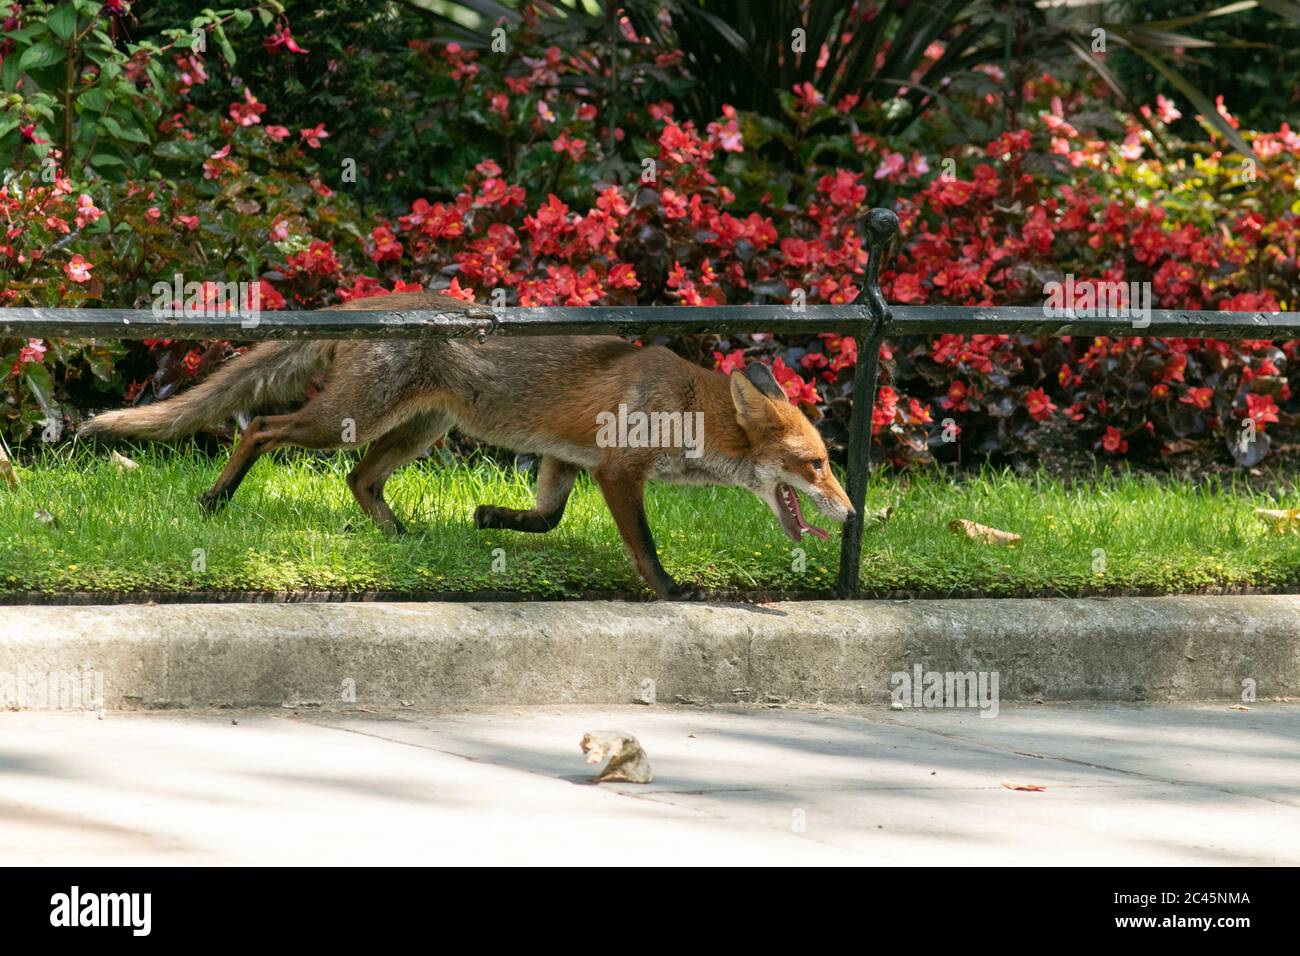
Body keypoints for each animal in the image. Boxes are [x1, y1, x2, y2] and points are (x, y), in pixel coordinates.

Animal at [80, 291, 854, 598]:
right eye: (815, 465)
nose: (853, 514)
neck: (689, 408)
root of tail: (379, 301)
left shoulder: (564, 457)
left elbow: (547, 516)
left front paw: (490, 517)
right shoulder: (617, 471)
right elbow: (644, 546)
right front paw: (669, 591)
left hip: (419, 430)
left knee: (359, 481)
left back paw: (398, 537)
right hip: (347, 421)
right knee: (261, 429)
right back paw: (216, 498)